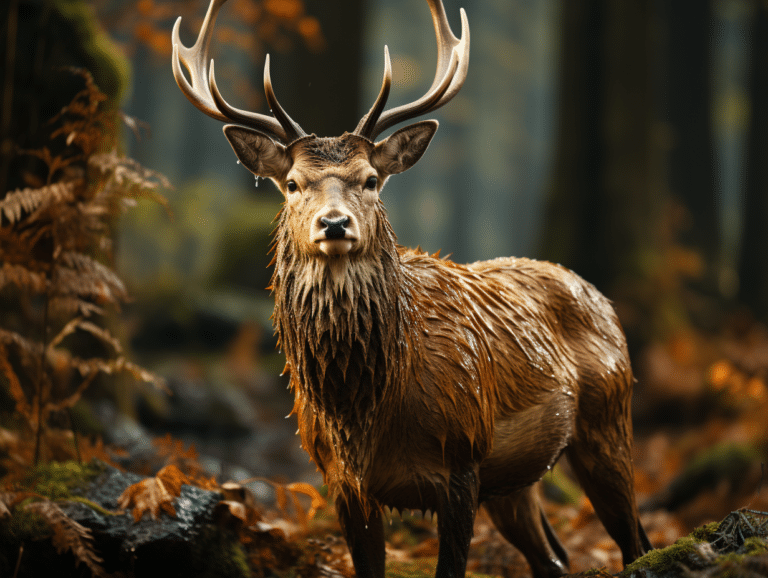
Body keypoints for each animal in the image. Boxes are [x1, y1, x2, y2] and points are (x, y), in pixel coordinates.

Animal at [172, 1, 652, 576]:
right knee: (553, 559)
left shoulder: (462, 460)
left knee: (636, 540)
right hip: (516, 482)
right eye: (291, 184)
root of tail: (596, 293)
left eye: (370, 179)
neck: (366, 411)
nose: (335, 224)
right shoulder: (341, 482)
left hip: (609, 419)